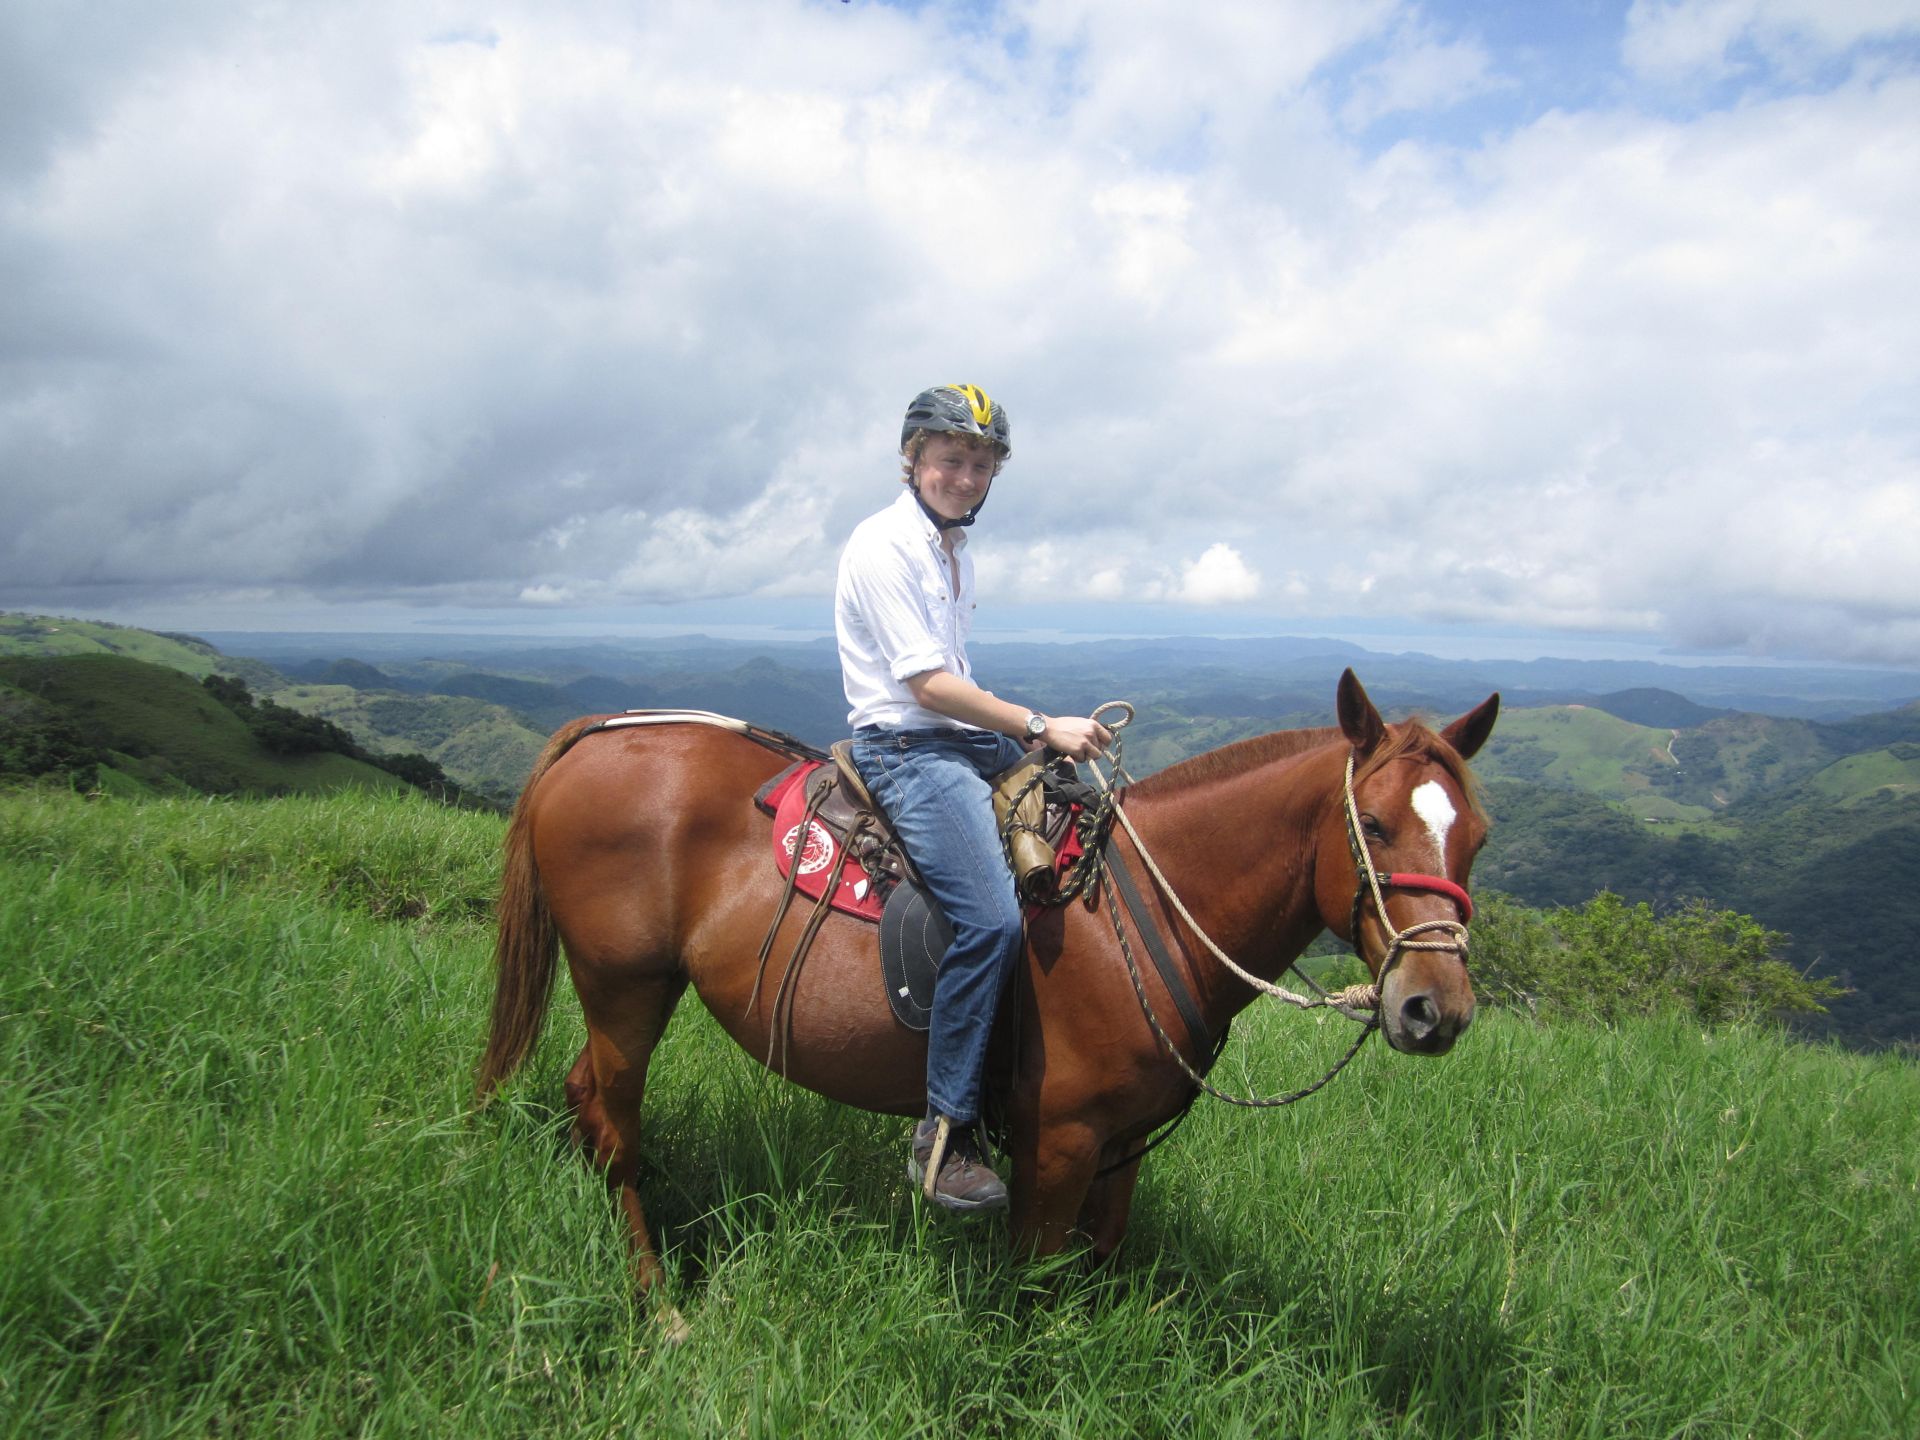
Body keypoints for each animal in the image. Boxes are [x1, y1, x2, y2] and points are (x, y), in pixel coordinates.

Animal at [477, 668, 1498, 1319]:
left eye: (1479, 836)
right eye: (1373, 825)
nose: (1435, 1008)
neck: (1139, 911)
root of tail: (604, 733)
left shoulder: (1123, 1146)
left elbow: (1099, 1263)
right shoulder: (1060, 1141)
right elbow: (1038, 1289)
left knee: (584, 1098)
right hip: (623, 984)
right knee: (615, 1123)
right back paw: (657, 1305)